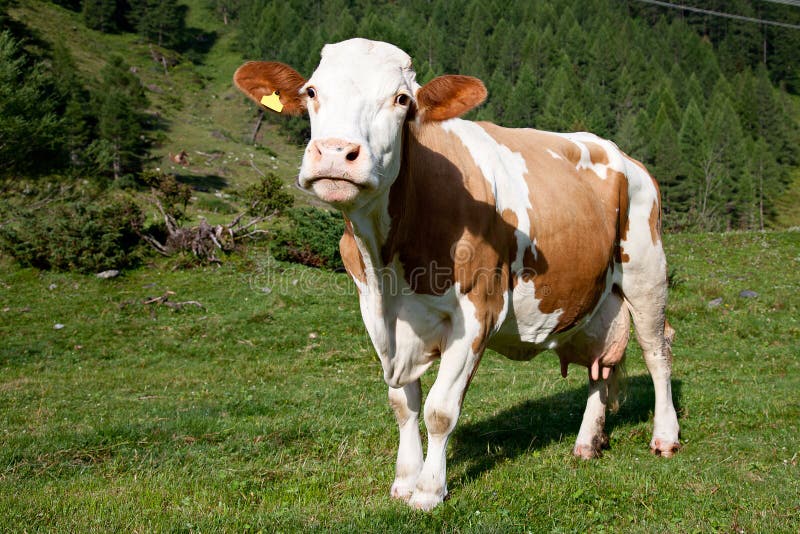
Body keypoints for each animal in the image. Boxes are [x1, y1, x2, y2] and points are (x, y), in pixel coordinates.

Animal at [234, 38, 680, 511]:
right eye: (312, 92)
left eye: (402, 99)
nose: (336, 153)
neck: (390, 264)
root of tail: (620, 154)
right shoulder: (375, 314)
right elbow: (403, 404)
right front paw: (404, 480)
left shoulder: (479, 311)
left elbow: (439, 409)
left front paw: (429, 491)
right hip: (597, 295)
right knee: (601, 366)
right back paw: (587, 442)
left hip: (647, 271)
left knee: (657, 350)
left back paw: (665, 436)